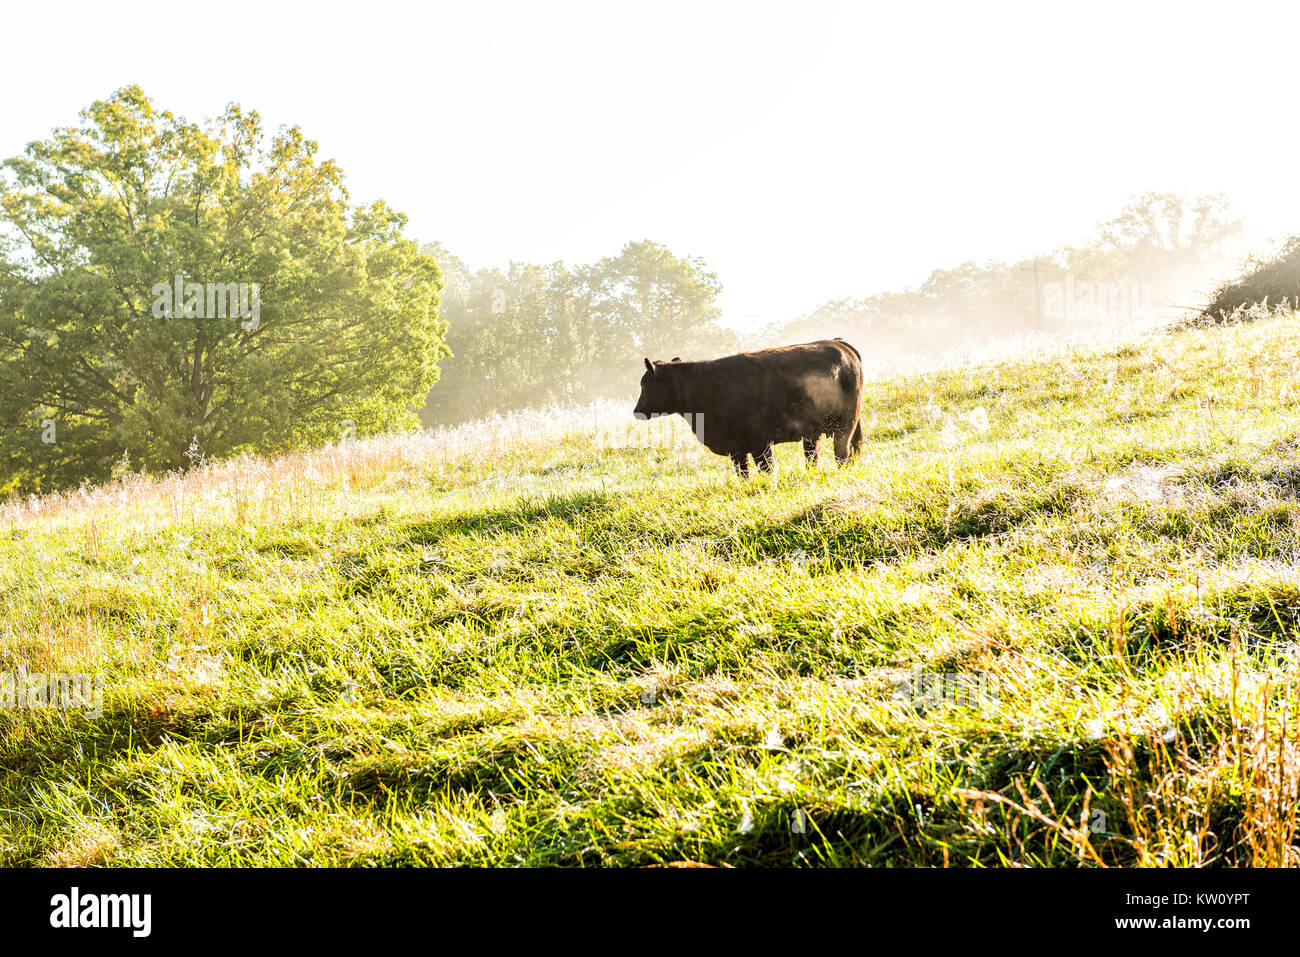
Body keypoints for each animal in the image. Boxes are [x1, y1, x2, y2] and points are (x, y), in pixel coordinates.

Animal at [632, 338, 865, 476]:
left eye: (645, 385)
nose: (636, 411)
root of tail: (839, 344)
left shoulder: (760, 443)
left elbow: (766, 469)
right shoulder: (737, 448)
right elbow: (743, 472)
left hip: (846, 423)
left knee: (842, 452)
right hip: (815, 431)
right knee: (814, 455)